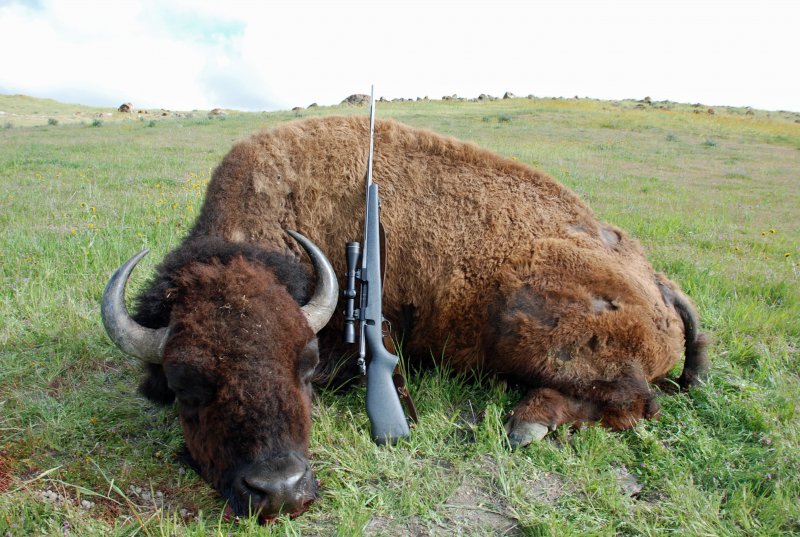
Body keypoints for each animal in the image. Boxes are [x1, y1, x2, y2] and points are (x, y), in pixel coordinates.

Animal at [102, 116, 708, 518]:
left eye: (304, 365)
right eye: (185, 383)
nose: (280, 491)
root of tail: (654, 277)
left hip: (526, 317)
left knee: (634, 402)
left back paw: (523, 425)